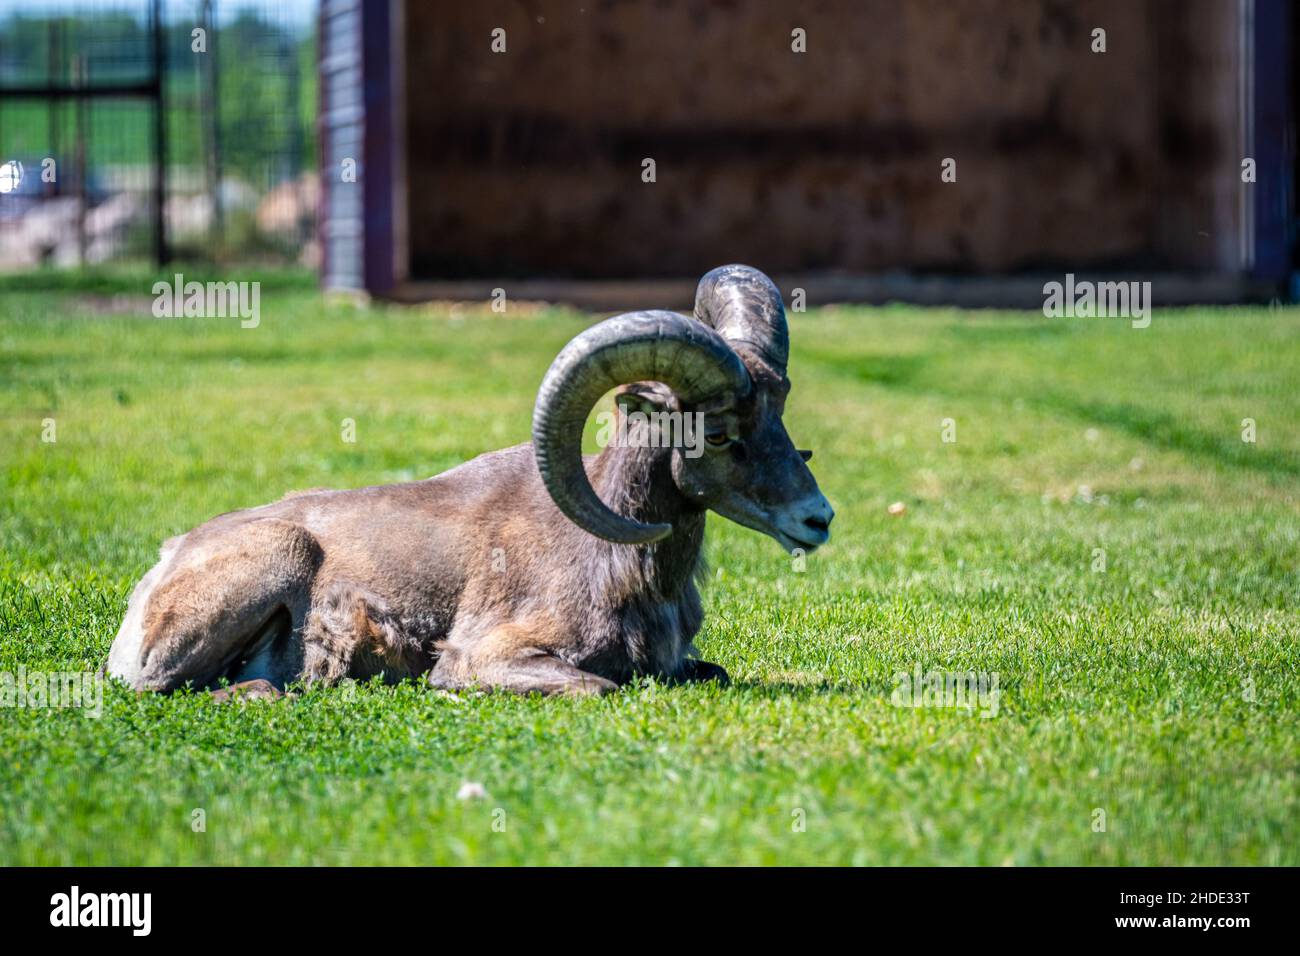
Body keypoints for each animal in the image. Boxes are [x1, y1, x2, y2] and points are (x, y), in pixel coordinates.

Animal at [106, 264, 834, 698]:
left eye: (779, 414)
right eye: (720, 433)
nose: (817, 518)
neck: (624, 567)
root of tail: (165, 565)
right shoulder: (490, 658)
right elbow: (598, 685)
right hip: (272, 562)